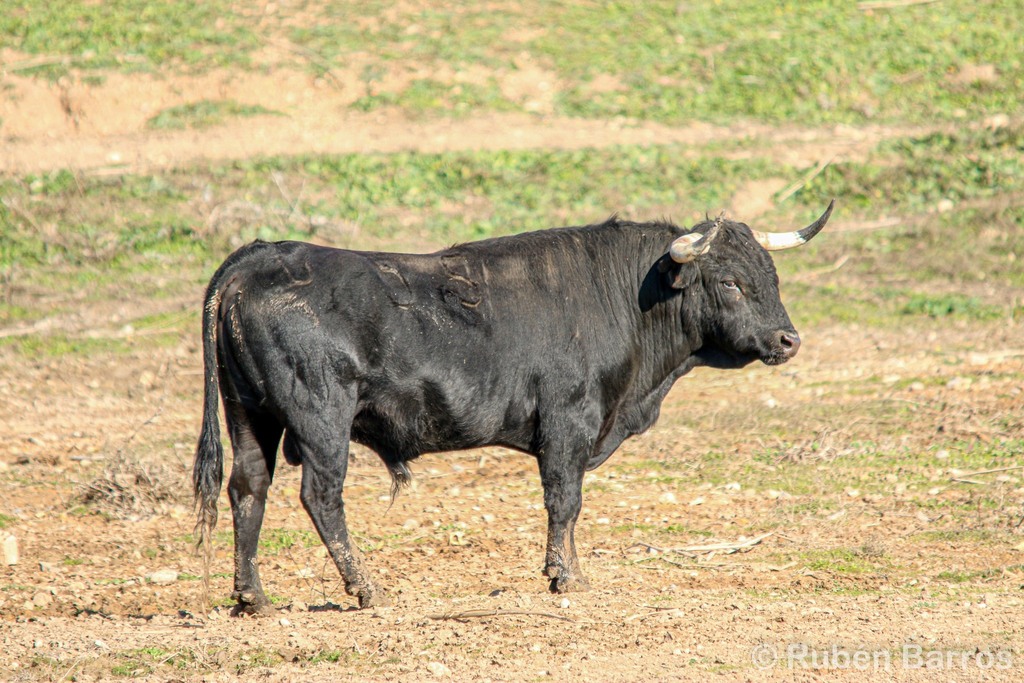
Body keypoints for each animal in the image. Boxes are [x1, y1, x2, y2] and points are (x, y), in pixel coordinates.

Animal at [193, 200, 834, 613]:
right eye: (729, 282)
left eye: (770, 276)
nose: (788, 340)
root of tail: (258, 257)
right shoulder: (569, 423)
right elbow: (565, 501)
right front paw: (564, 576)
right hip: (319, 418)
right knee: (321, 496)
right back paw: (365, 589)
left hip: (250, 414)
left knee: (248, 488)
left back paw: (252, 597)